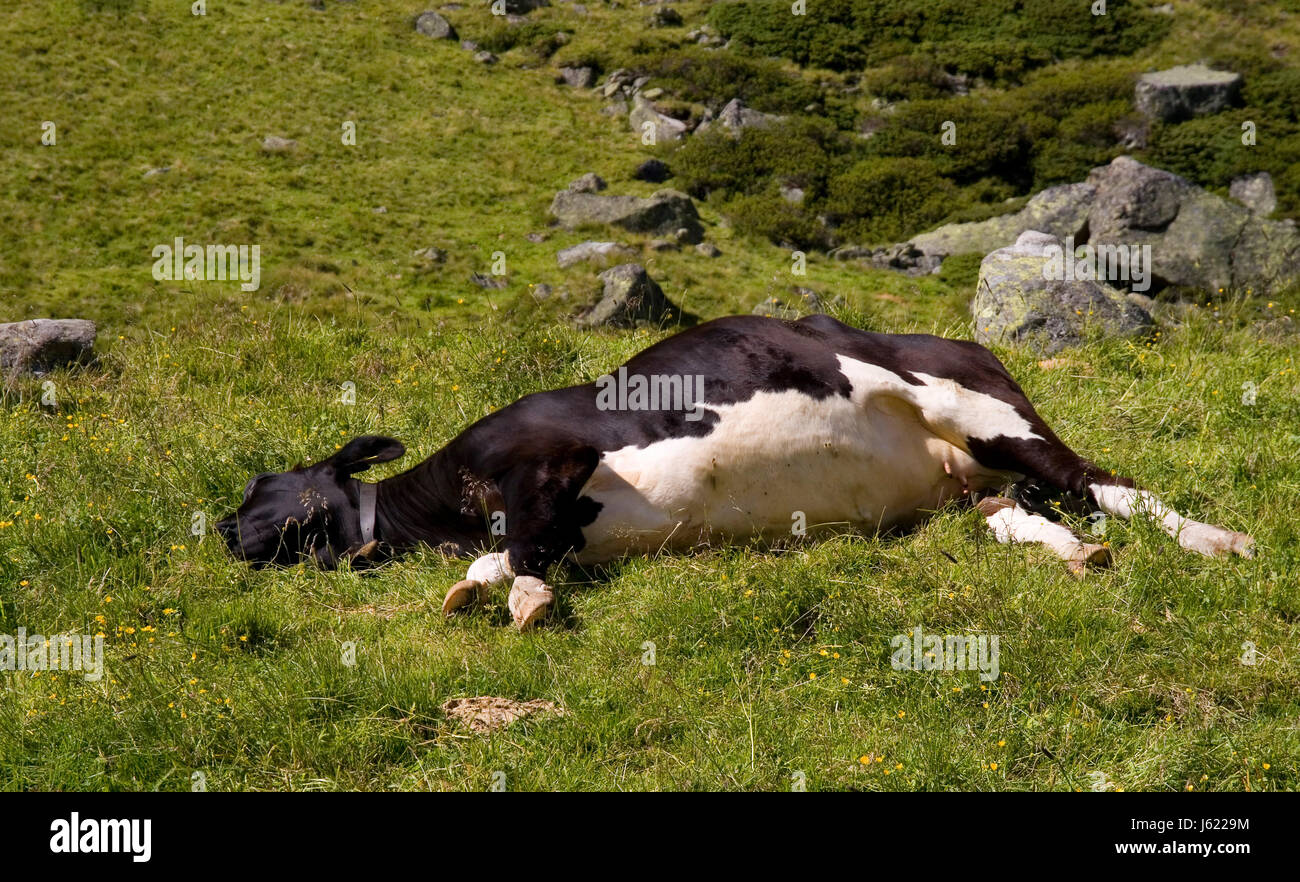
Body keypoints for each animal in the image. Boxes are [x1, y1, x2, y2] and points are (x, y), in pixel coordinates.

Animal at [215, 314, 1254, 630]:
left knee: (1104, 482)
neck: (447, 500)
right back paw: (1076, 556)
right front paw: (485, 588)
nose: (222, 532)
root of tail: (955, 336)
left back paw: (1216, 540)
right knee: (1019, 510)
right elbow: (518, 551)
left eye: (268, 493)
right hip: (967, 479)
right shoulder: (563, 522)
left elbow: (518, 552)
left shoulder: (548, 457)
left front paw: (517, 599)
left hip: (982, 411)